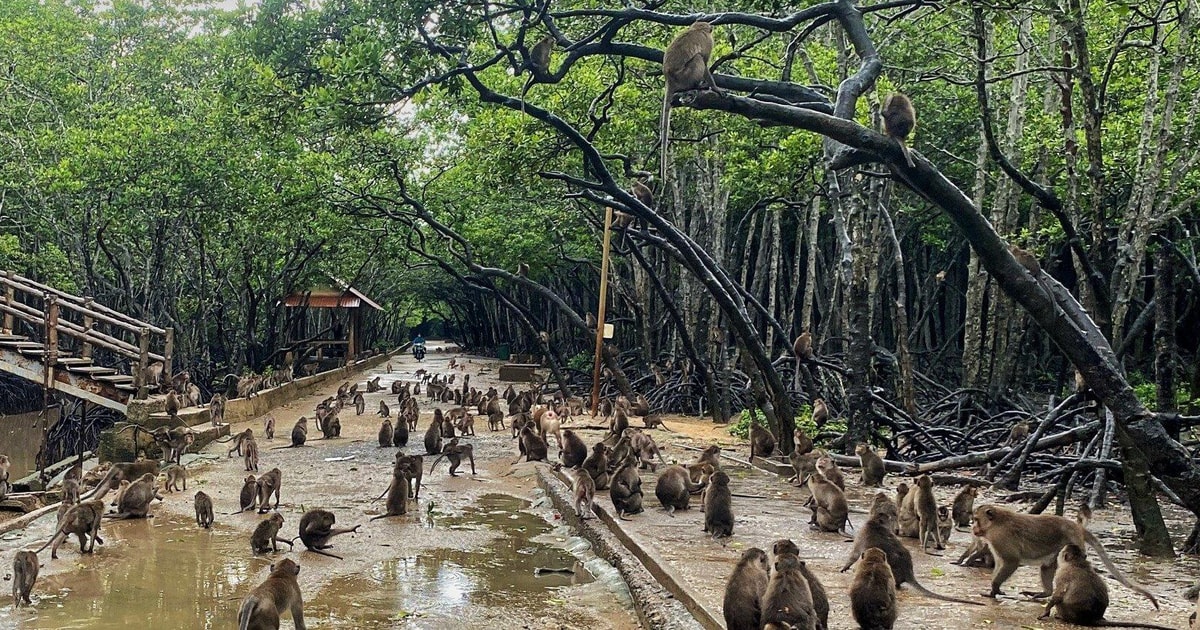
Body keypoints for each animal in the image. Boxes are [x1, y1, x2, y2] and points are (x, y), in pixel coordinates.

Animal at [659, 21, 718, 181]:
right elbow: (705, 62)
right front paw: (715, 88)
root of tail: (669, 79)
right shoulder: (708, 41)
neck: (696, 28)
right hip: (685, 76)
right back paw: (697, 85)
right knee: (698, 58)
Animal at [971, 505, 1158, 608]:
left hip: (1073, 542)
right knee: (1048, 565)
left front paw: (994, 588)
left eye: (976, 519)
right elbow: (1001, 563)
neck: (995, 523)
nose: (973, 528)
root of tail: (1077, 527)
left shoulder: (1000, 537)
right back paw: (1046, 592)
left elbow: (1011, 561)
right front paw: (994, 589)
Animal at [1038, 544, 1176, 629]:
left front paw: (1045, 612)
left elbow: (1058, 594)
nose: (1058, 555)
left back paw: (1060, 616)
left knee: (1060, 602)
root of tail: (1092, 618)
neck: (1077, 563)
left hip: (1069, 614)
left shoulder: (1061, 574)